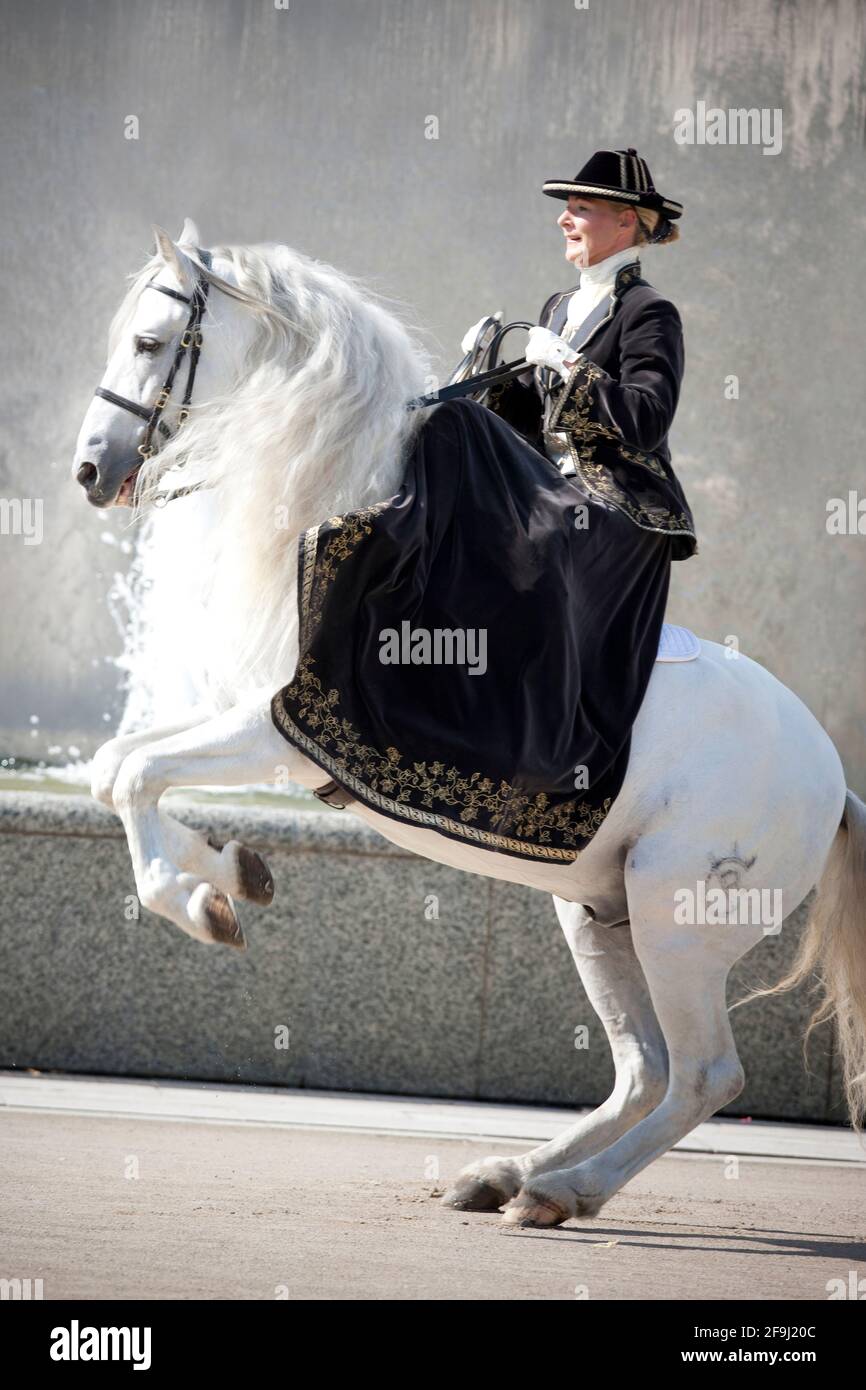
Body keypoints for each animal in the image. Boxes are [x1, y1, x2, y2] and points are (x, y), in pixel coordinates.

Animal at [72, 220, 866, 1228]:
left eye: (148, 342)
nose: (89, 471)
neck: (361, 511)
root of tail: (832, 781)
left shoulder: (285, 728)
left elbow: (133, 774)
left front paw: (203, 900)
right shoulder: (246, 713)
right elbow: (115, 765)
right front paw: (228, 873)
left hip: (679, 923)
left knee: (703, 1078)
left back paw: (561, 1190)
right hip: (600, 915)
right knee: (642, 1072)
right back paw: (507, 1178)